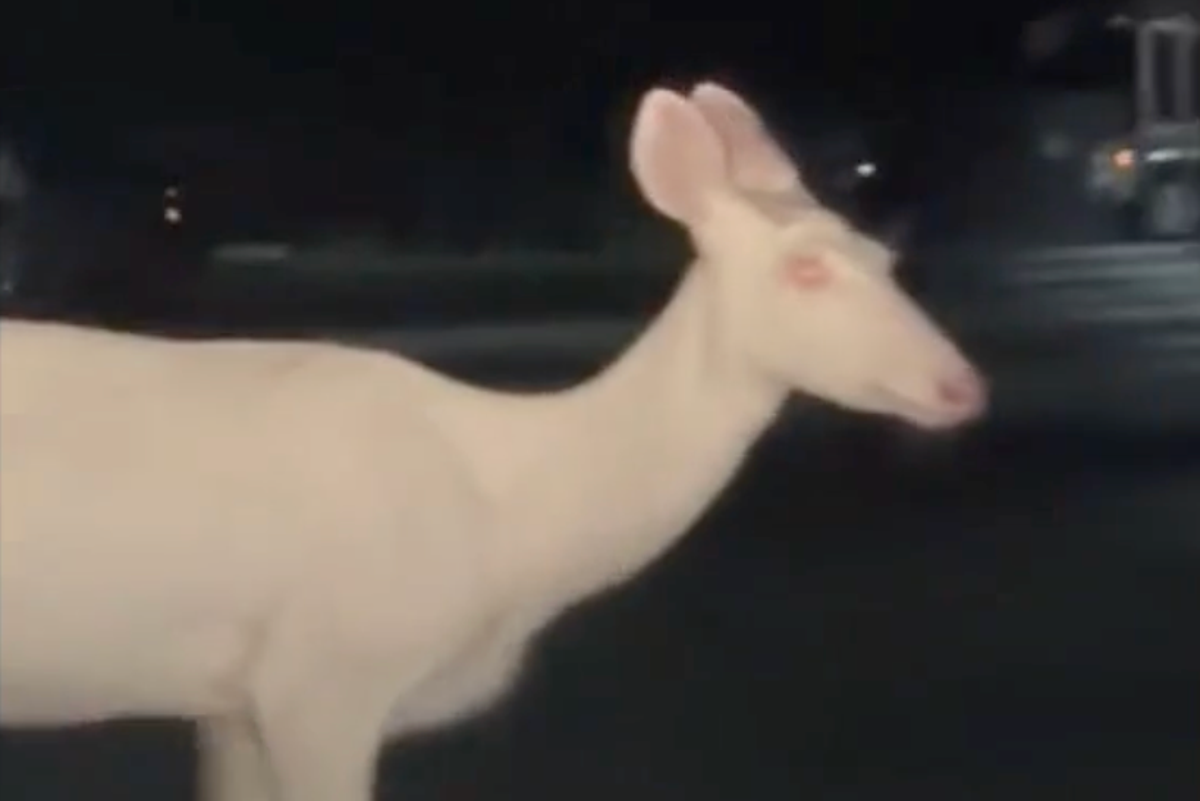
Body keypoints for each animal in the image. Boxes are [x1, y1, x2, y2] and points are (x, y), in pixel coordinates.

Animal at [0, 82, 987, 801]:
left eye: (885, 257)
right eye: (805, 268)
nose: (962, 386)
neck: (508, 525)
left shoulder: (232, 698)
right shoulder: (323, 671)